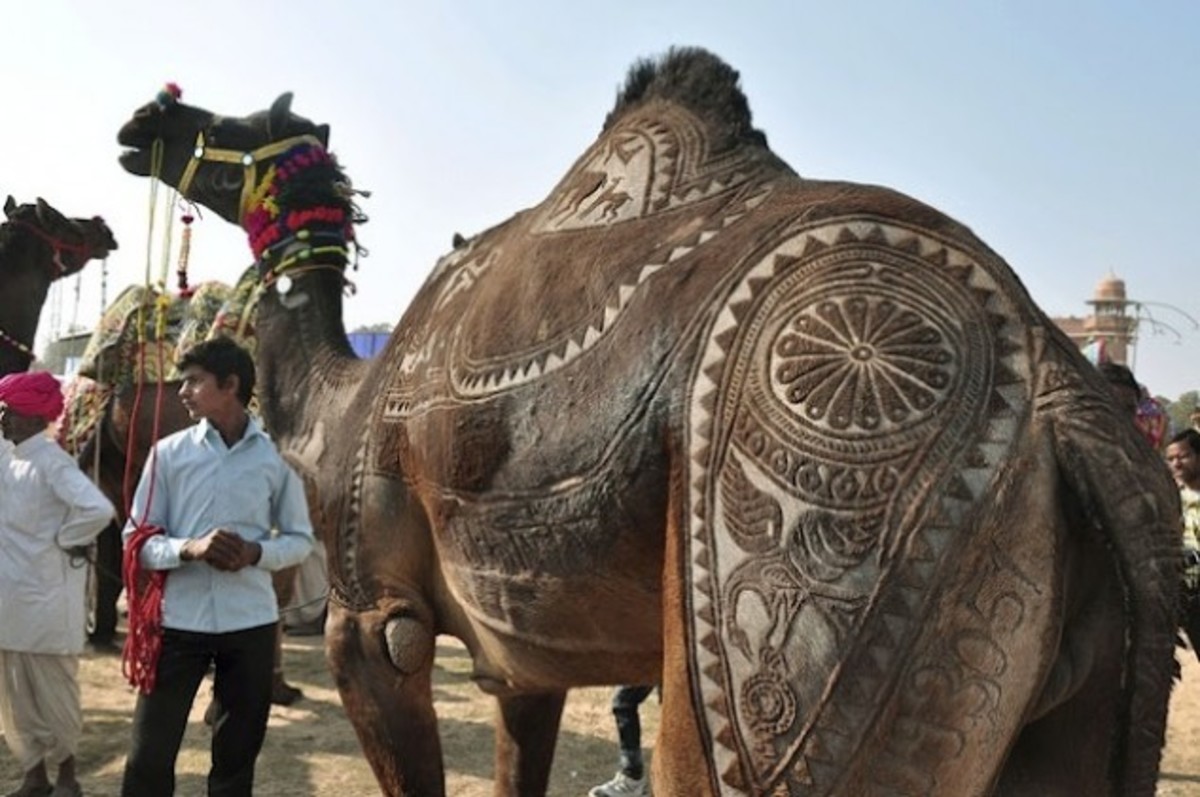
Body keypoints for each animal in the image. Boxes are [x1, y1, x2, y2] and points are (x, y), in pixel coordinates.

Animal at [116, 48, 1181, 796]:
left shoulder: (372, 615)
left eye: (240, 119)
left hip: (787, 656)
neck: (339, 406)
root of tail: (1067, 404)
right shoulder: (519, 662)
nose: (144, 115)